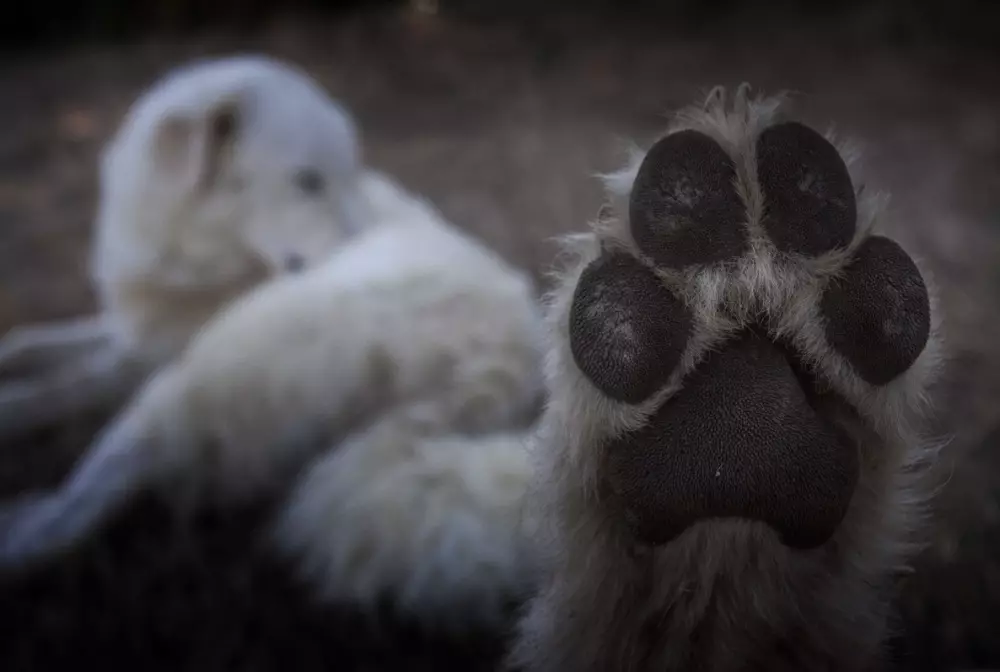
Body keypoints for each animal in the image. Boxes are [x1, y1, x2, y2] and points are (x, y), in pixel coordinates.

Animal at [0, 56, 548, 632]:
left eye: (349, 174)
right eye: (308, 181)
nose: (368, 242)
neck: (199, 249)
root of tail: (497, 372)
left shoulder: (150, 354)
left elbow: (52, 391)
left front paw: (11, 408)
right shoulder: (136, 333)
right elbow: (29, 345)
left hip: (222, 358)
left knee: (121, 467)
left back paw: (26, 532)